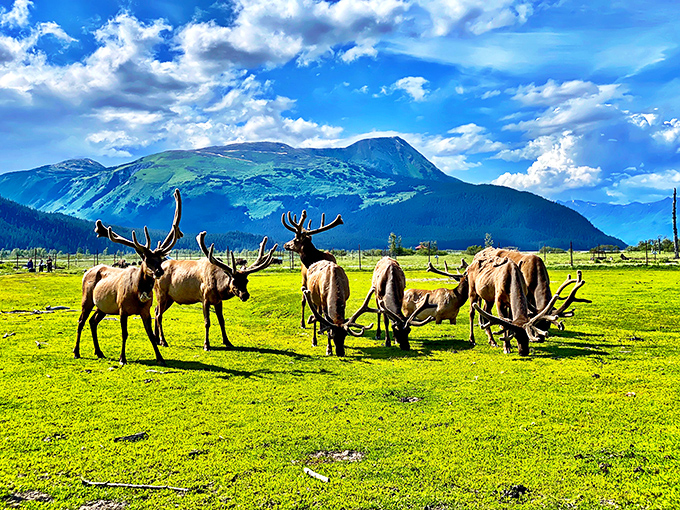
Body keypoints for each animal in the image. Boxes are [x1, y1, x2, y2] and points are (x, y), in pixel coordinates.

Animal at [74, 188, 183, 366]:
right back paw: (76, 352)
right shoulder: (122, 308)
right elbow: (124, 334)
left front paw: (160, 358)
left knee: (93, 321)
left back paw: (99, 352)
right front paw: (122, 358)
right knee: (81, 321)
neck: (138, 292)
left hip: (103, 306)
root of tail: (86, 272)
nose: (159, 272)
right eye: (147, 260)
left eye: (160, 259)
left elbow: (150, 335)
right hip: (87, 299)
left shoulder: (145, 310)